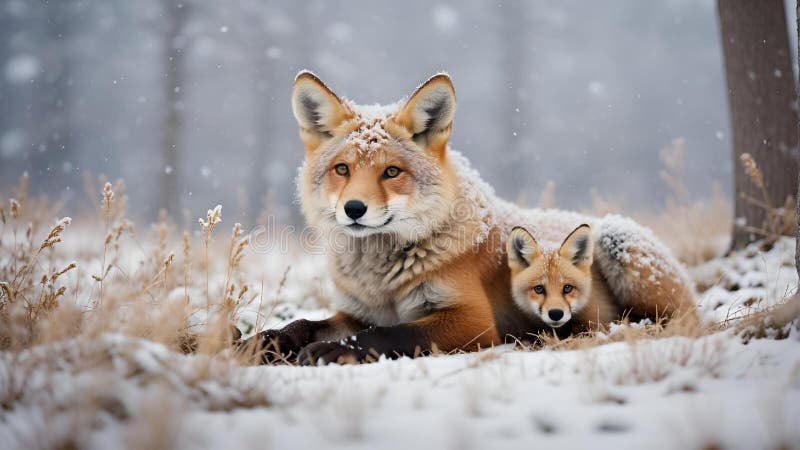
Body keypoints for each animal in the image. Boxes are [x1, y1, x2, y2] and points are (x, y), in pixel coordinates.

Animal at [241, 71, 695, 365]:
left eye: (391, 172)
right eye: (342, 170)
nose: (354, 209)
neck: (382, 282)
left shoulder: (471, 321)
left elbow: (392, 333)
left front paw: (339, 351)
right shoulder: (359, 311)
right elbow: (302, 323)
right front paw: (259, 343)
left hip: (621, 241)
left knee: (671, 320)